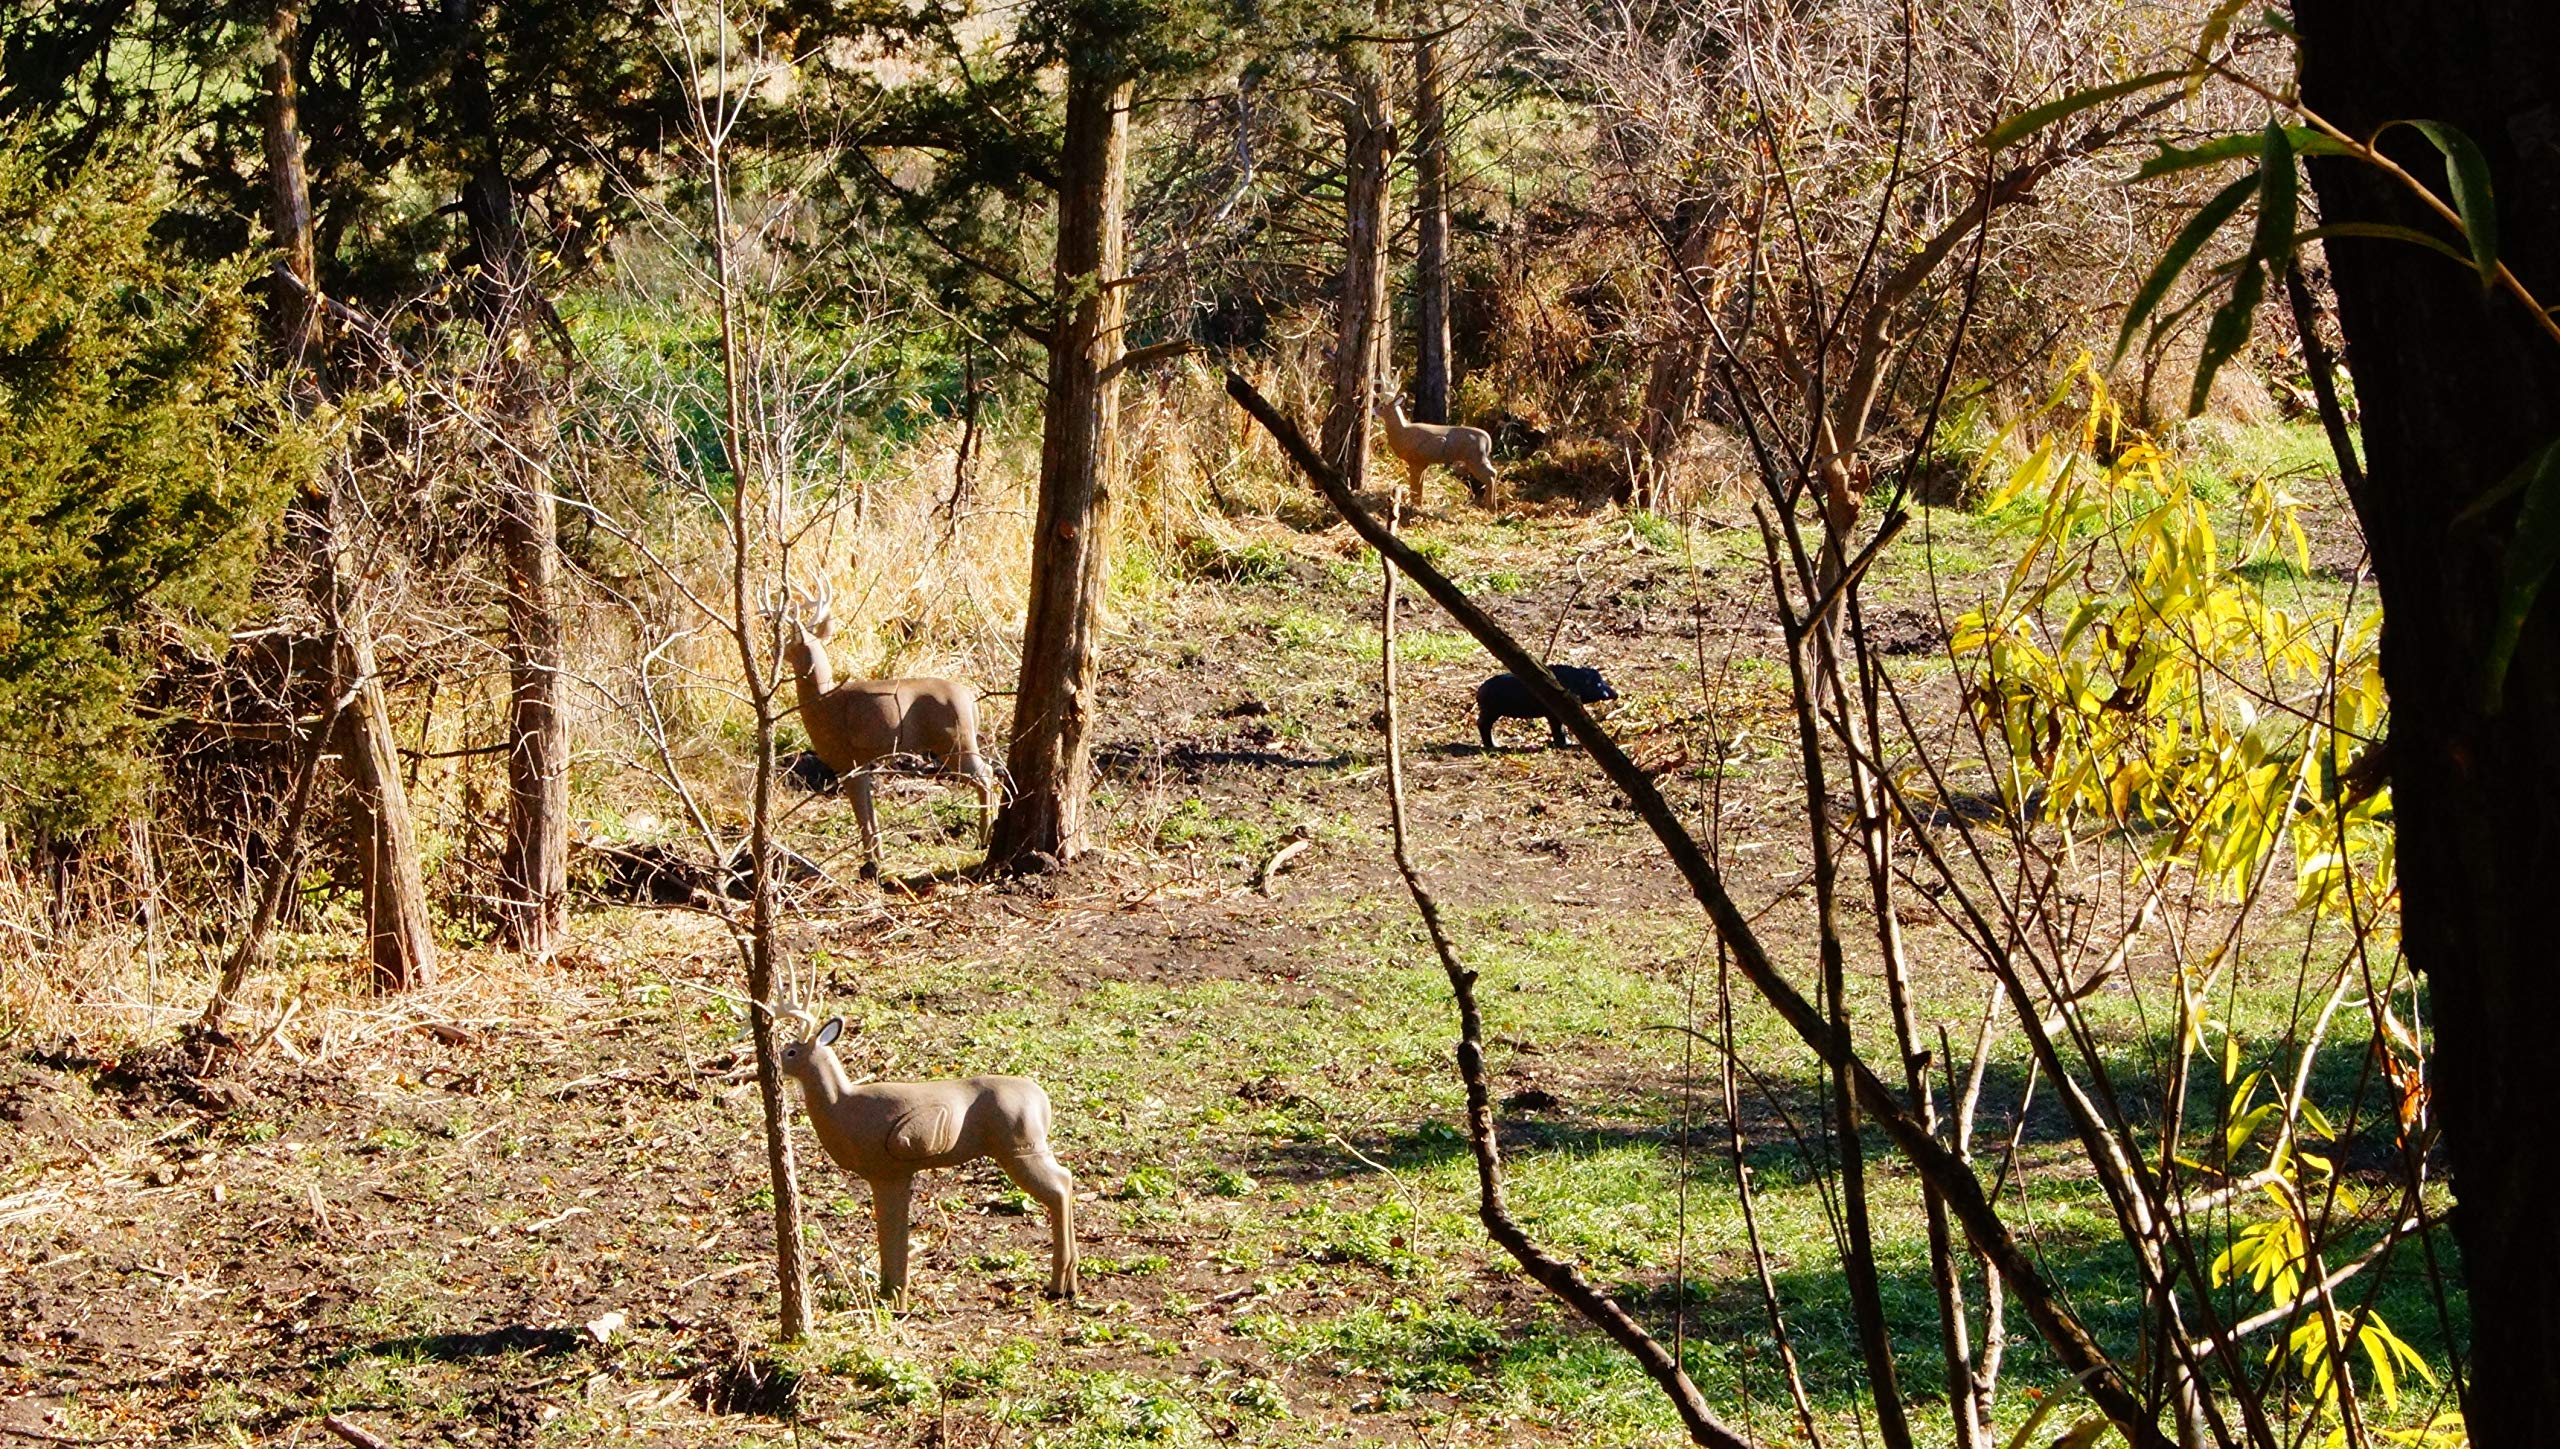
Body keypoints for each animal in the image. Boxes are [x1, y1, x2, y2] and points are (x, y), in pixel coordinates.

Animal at [776, 1011, 1077, 1301]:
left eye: (790, 1051)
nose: (773, 1063)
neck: (844, 1106)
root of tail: (1043, 1101)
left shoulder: (887, 1170)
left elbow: (892, 1235)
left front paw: (894, 1300)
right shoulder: (893, 1173)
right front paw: (890, 1295)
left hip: (1020, 1148)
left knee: (1059, 1187)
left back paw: (1058, 1285)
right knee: (1066, 1178)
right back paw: (1068, 1286)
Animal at [778, 584, 999, 879]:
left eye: (789, 642)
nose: (774, 653)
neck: (824, 702)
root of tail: (972, 699)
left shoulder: (846, 760)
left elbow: (861, 811)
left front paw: (870, 862)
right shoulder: (862, 763)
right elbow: (869, 810)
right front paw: (878, 857)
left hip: (956, 740)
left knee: (985, 774)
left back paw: (983, 838)